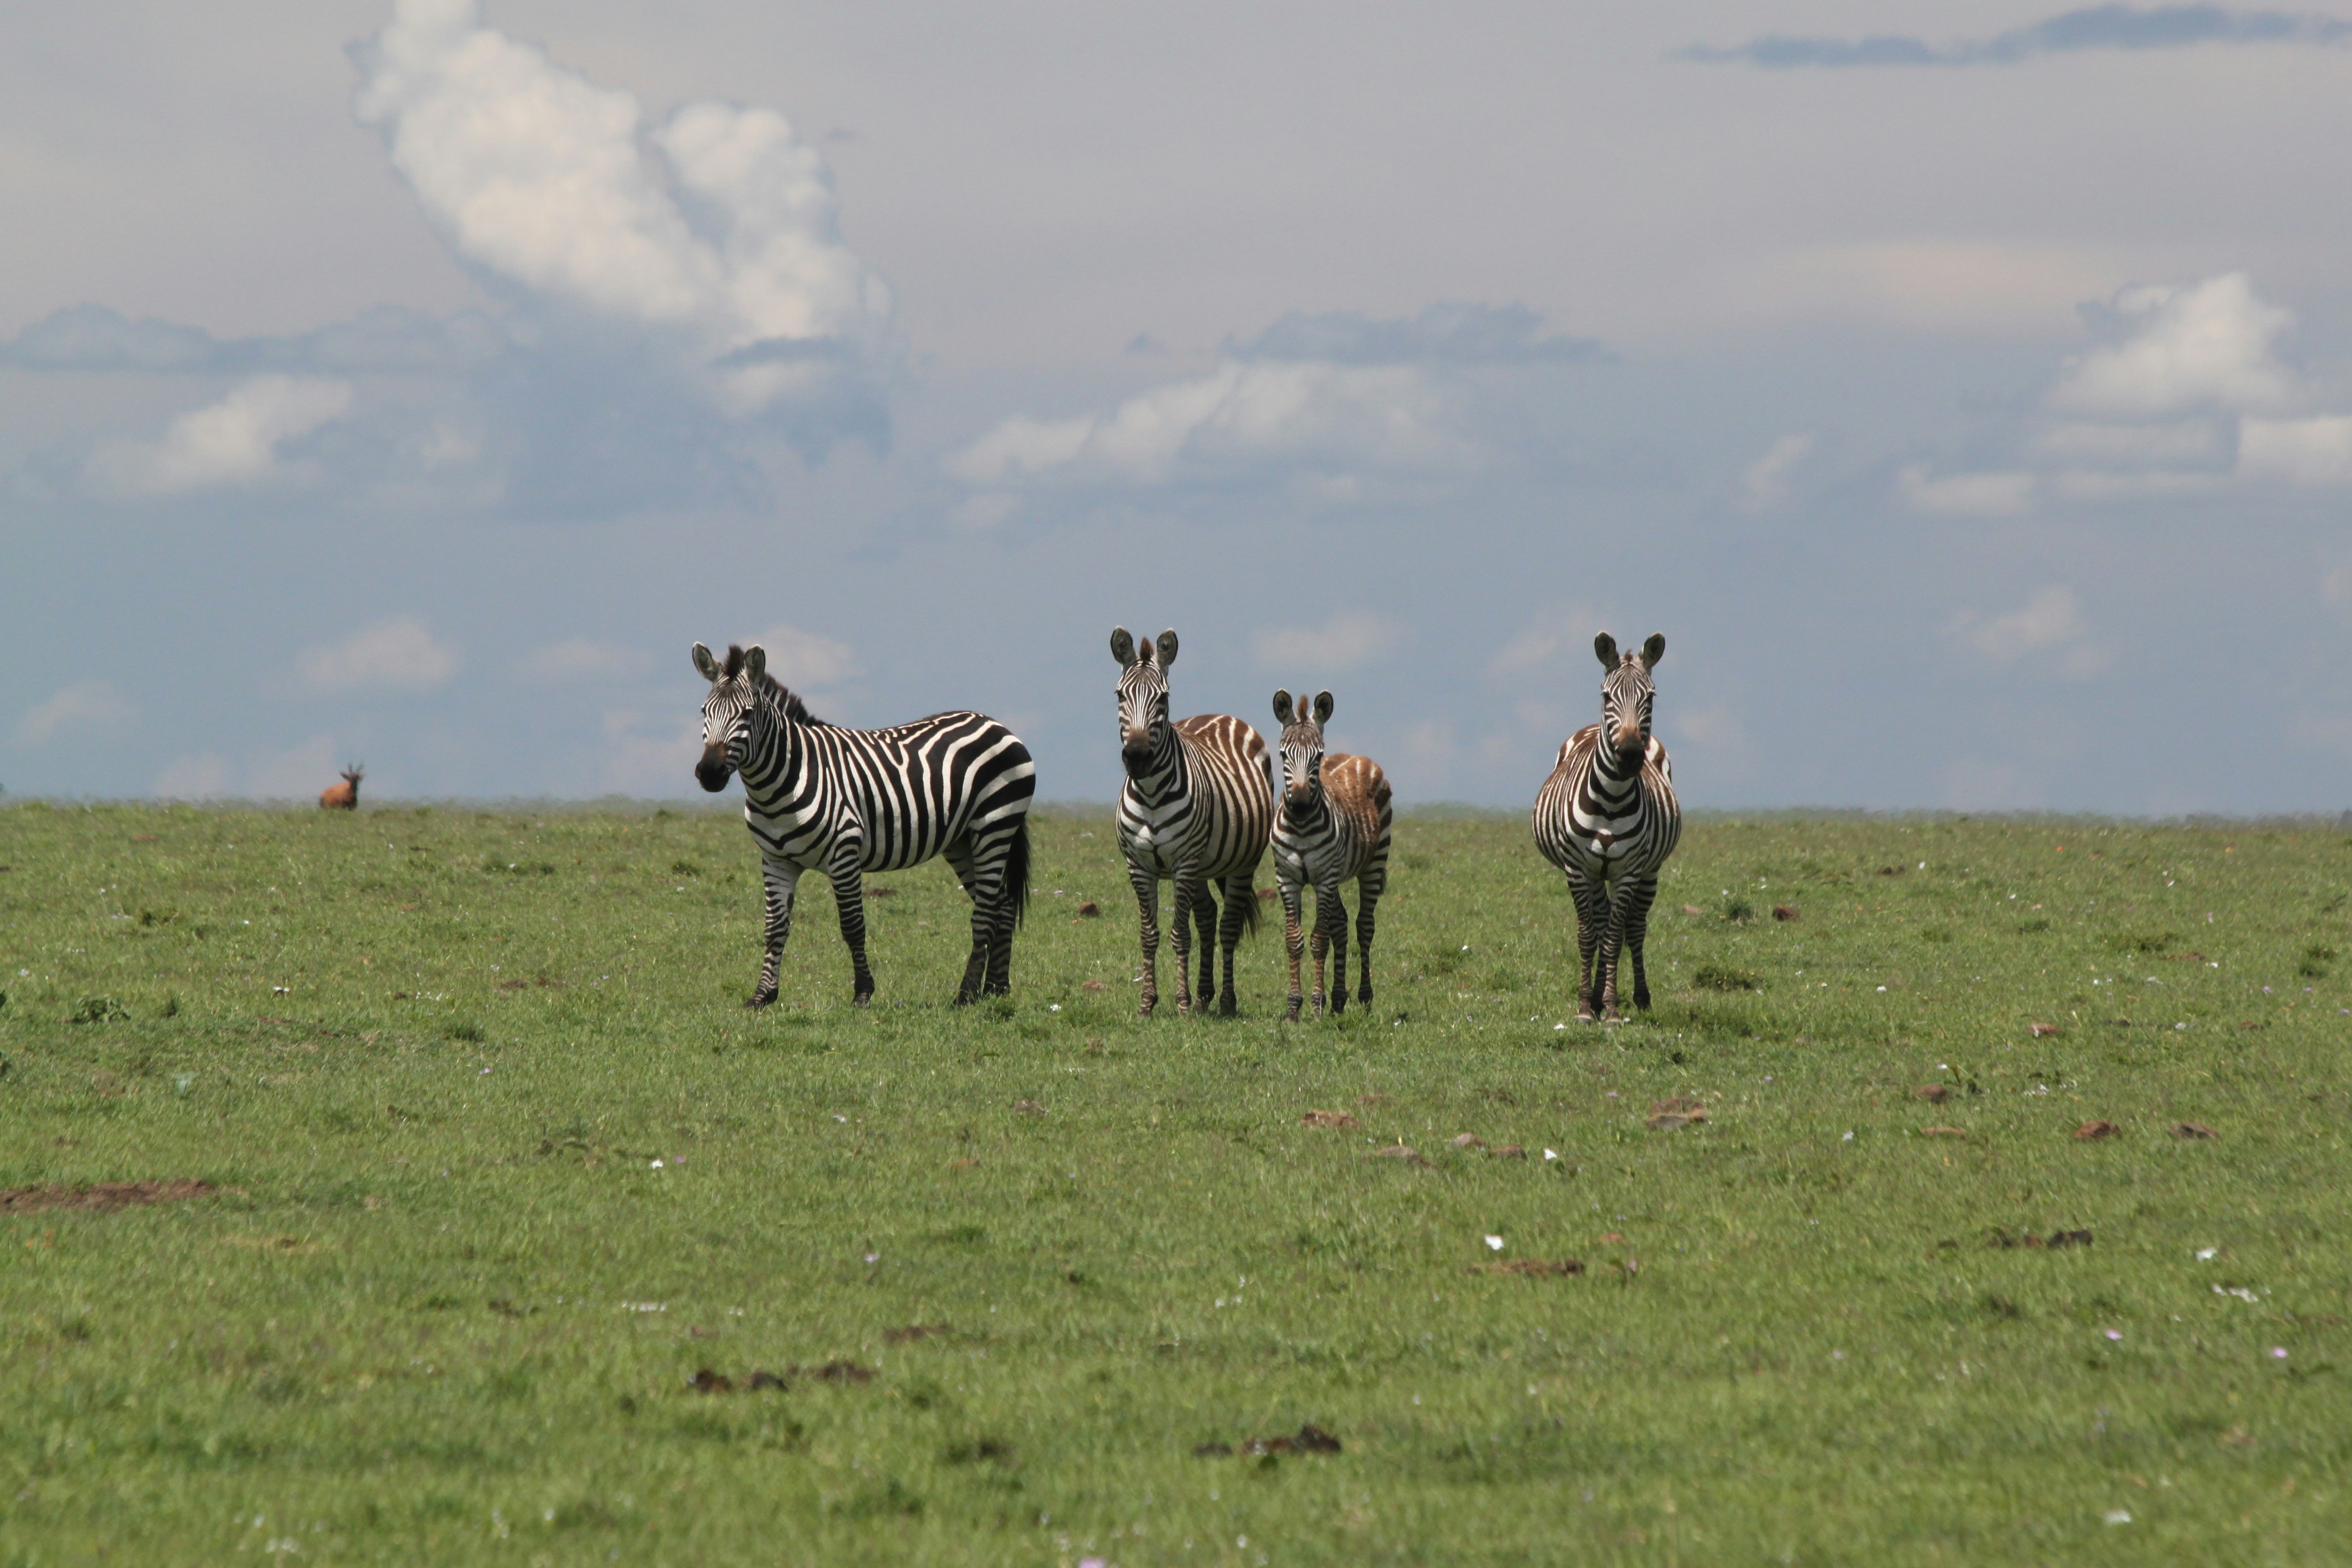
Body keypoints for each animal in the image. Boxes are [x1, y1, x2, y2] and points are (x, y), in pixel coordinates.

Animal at [692, 641, 1035, 1008]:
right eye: (704, 712)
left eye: (747, 714)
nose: (710, 773)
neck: (785, 780)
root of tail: (994, 723)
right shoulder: (776, 860)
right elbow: (775, 929)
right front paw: (762, 995)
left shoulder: (844, 853)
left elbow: (853, 926)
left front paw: (863, 993)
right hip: (962, 841)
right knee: (1002, 906)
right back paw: (997, 989)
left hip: (995, 827)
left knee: (985, 914)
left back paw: (967, 995)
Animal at [1110, 626, 1272, 1017]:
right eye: (1120, 695)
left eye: (1163, 699)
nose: (1137, 757)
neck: (1152, 794)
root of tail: (1222, 715)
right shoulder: (1139, 865)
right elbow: (1149, 935)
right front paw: (1148, 1003)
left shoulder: (1183, 862)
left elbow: (1180, 934)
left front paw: (1182, 1003)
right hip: (1202, 865)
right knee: (1208, 916)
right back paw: (1204, 996)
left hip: (1241, 863)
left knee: (1228, 925)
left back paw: (1225, 1001)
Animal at [1268, 688, 1393, 1022]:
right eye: (1283, 755)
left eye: (1318, 757)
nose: (1299, 805)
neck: (1300, 827)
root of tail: (1356, 756)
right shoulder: (1287, 879)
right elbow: (1295, 940)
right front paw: (1293, 1008)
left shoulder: (1324, 879)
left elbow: (1319, 940)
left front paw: (1315, 1007)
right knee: (1341, 924)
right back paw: (1337, 1000)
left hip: (1373, 863)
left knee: (1364, 926)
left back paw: (1364, 999)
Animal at [1532, 632, 1681, 1023]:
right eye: (1606, 696)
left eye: (1651, 697)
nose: (1629, 755)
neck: (1612, 798)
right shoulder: (1578, 868)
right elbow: (1588, 936)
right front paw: (1587, 1006)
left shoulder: (1629, 869)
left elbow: (1615, 936)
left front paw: (1612, 1009)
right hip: (1598, 872)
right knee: (1600, 922)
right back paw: (1597, 997)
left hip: (1649, 869)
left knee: (1634, 927)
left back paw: (1639, 997)